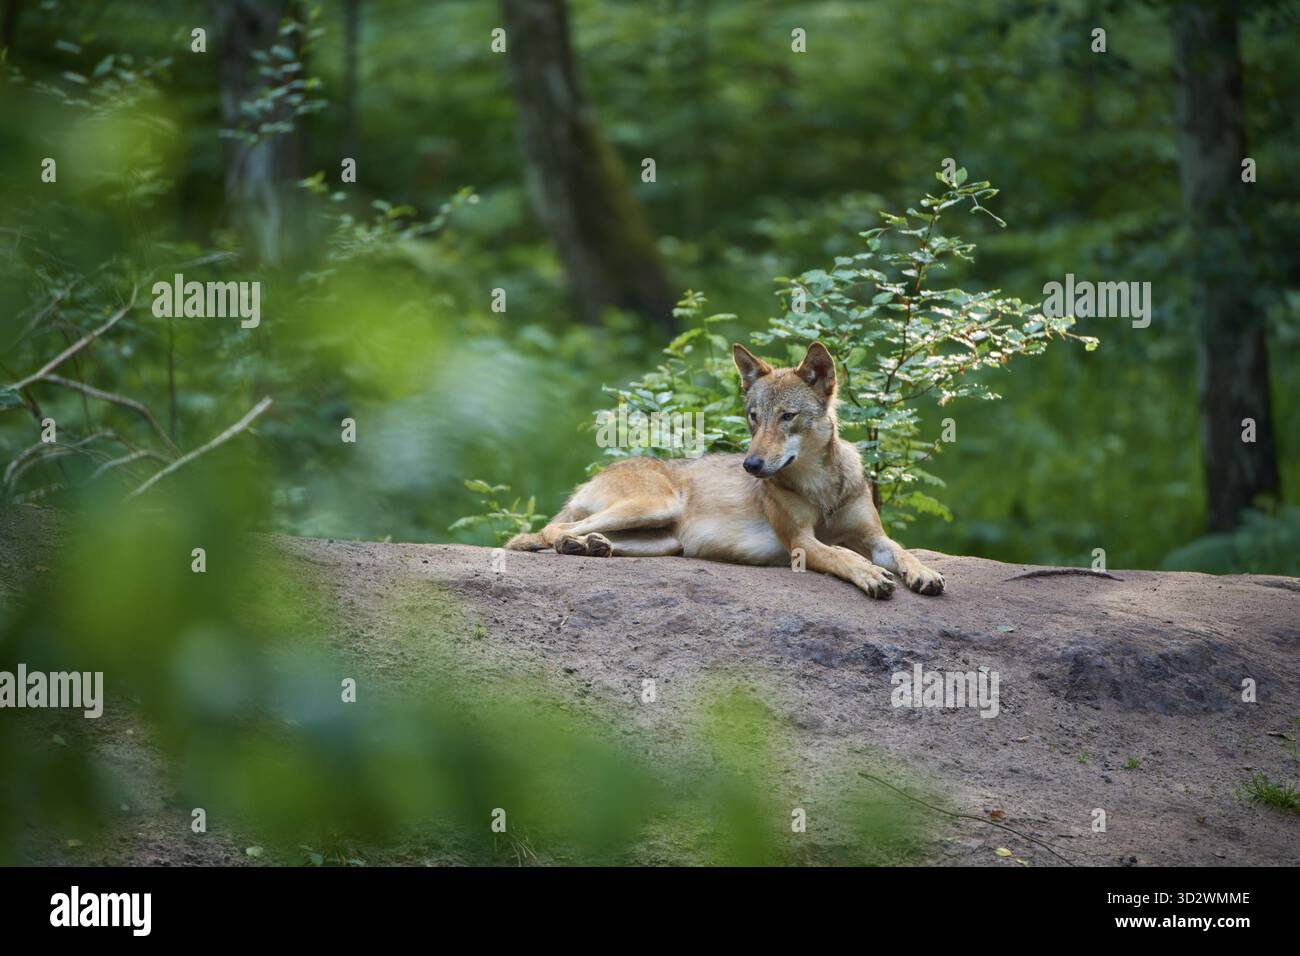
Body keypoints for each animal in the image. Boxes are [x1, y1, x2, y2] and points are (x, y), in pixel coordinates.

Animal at [506, 341, 945, 599]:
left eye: (787, 416)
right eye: (753, 417)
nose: (750, 464)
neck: (821, 488)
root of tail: (597, 474)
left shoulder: (873, 536)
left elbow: (901, 551)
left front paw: (924, 573)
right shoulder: (800, 543)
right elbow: (841, 554)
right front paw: (871, 575)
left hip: (664, 541)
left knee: (559, 536)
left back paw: (591, 546)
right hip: (654, 506)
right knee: (547, 530)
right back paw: (572, 544)